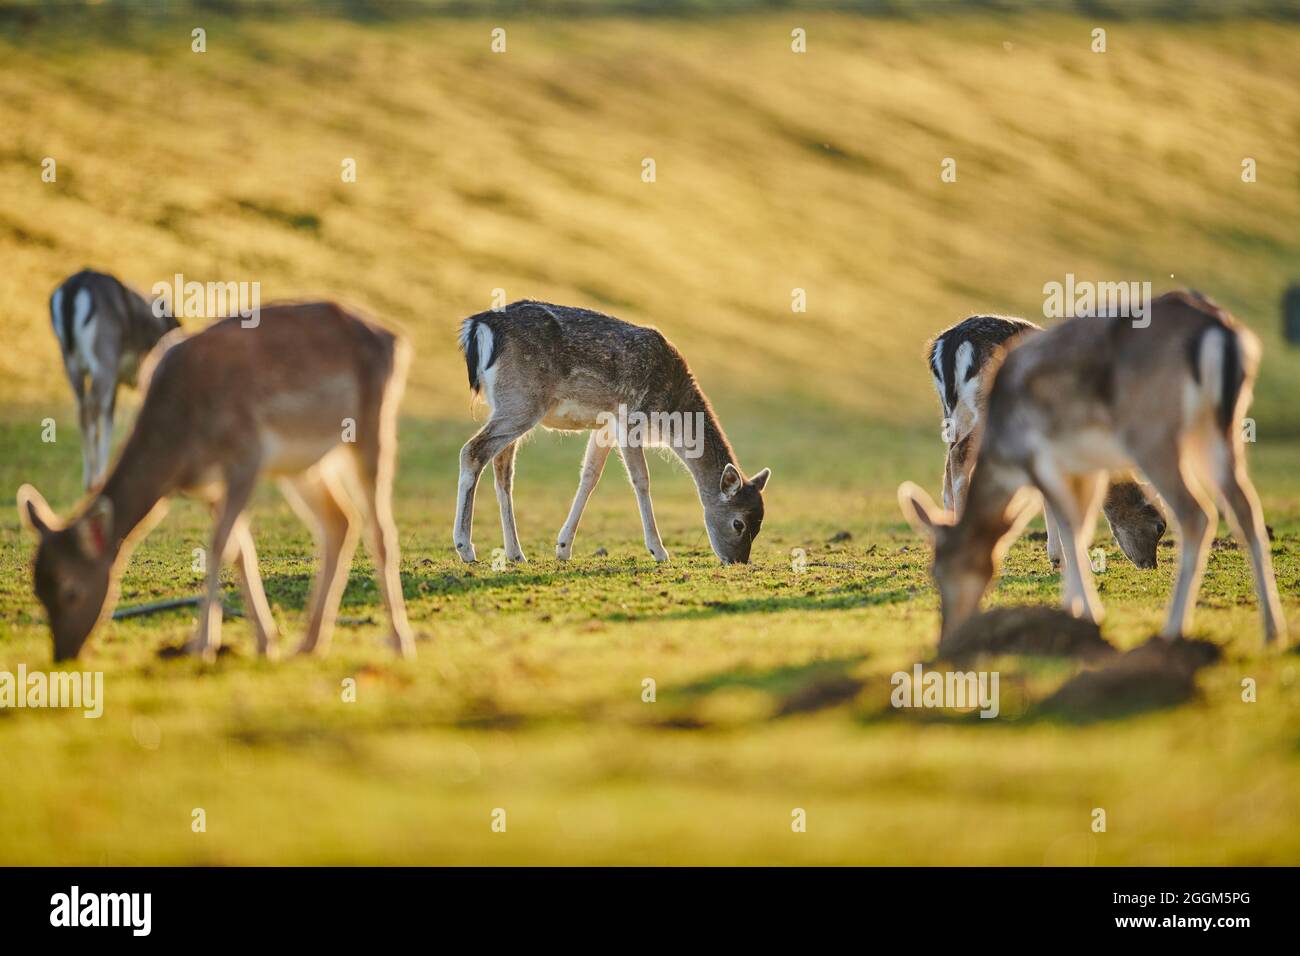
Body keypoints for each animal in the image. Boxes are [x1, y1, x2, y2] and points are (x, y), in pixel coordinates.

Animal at [17, 302, 415, 663]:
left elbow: (217, 547)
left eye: (72, 591)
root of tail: (395, 339)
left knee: (380, 529)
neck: (180, 444)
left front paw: (203, 645)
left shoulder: (246, 455)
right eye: (38, 590)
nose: (62, 655)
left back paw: (399, 641)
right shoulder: (208, 487)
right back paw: (310, 643)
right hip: (302, 466)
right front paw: (264, 642)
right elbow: (239, 550)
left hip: (373, 423)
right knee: (340, 521)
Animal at [50, 270, 180, 489]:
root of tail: (74, 287)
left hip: (70, 362)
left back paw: (89, 478)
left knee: (82, 409)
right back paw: (95, 478)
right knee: (91, 408)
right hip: (104, 358)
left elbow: (109, 415)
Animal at [454, 300, 771, 565]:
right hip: (522, 401)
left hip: (509, 404)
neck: (669, 416)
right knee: (472, 451)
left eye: (759, 525)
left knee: (503, 470)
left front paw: (563, 548)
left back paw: (515, 553)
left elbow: (589, 476)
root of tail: (478, 326)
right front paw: (659, 551)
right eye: (739, 523)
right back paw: (466, 548)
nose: (738, 561)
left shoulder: (605, 428)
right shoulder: (628, 418)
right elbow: (641, 479)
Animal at [928, 313, 1168, 568]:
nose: (1150, 564)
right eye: (1160, 526)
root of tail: (949, 344)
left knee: (948, 466)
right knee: (959, 455)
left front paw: (1057, 558)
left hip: (952, 415)